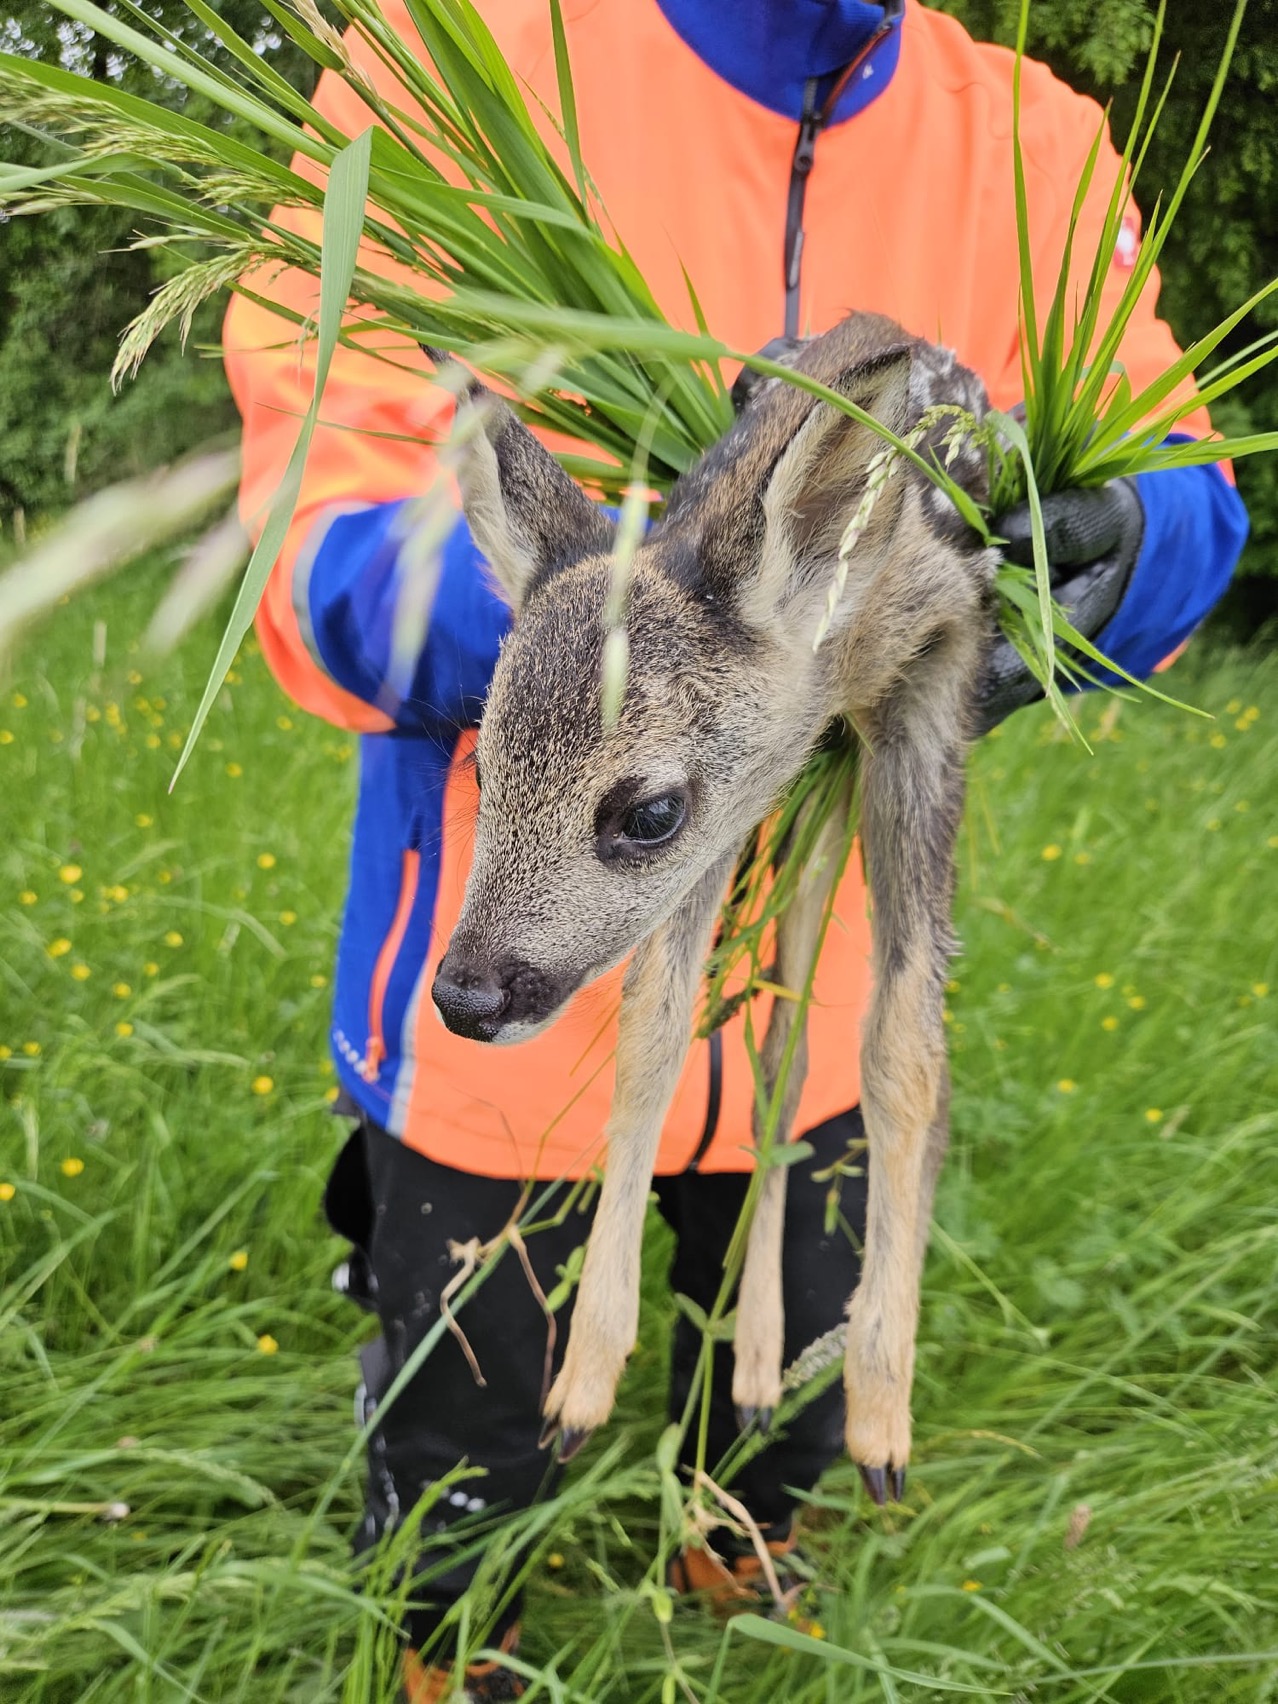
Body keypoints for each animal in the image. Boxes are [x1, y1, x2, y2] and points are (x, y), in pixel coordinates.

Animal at [429, 311, 997, 1503]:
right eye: (482, 771)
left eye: (646, 810)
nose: (464, 995)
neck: (848, 636)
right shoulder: (737, 812)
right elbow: (655, 1028)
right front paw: (584, 1381)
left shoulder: (943, 668)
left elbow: (903, 1051)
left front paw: (882, 1414)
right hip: (790, 807)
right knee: (777, 1049)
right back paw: (755, 1368)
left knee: (804, 1037)